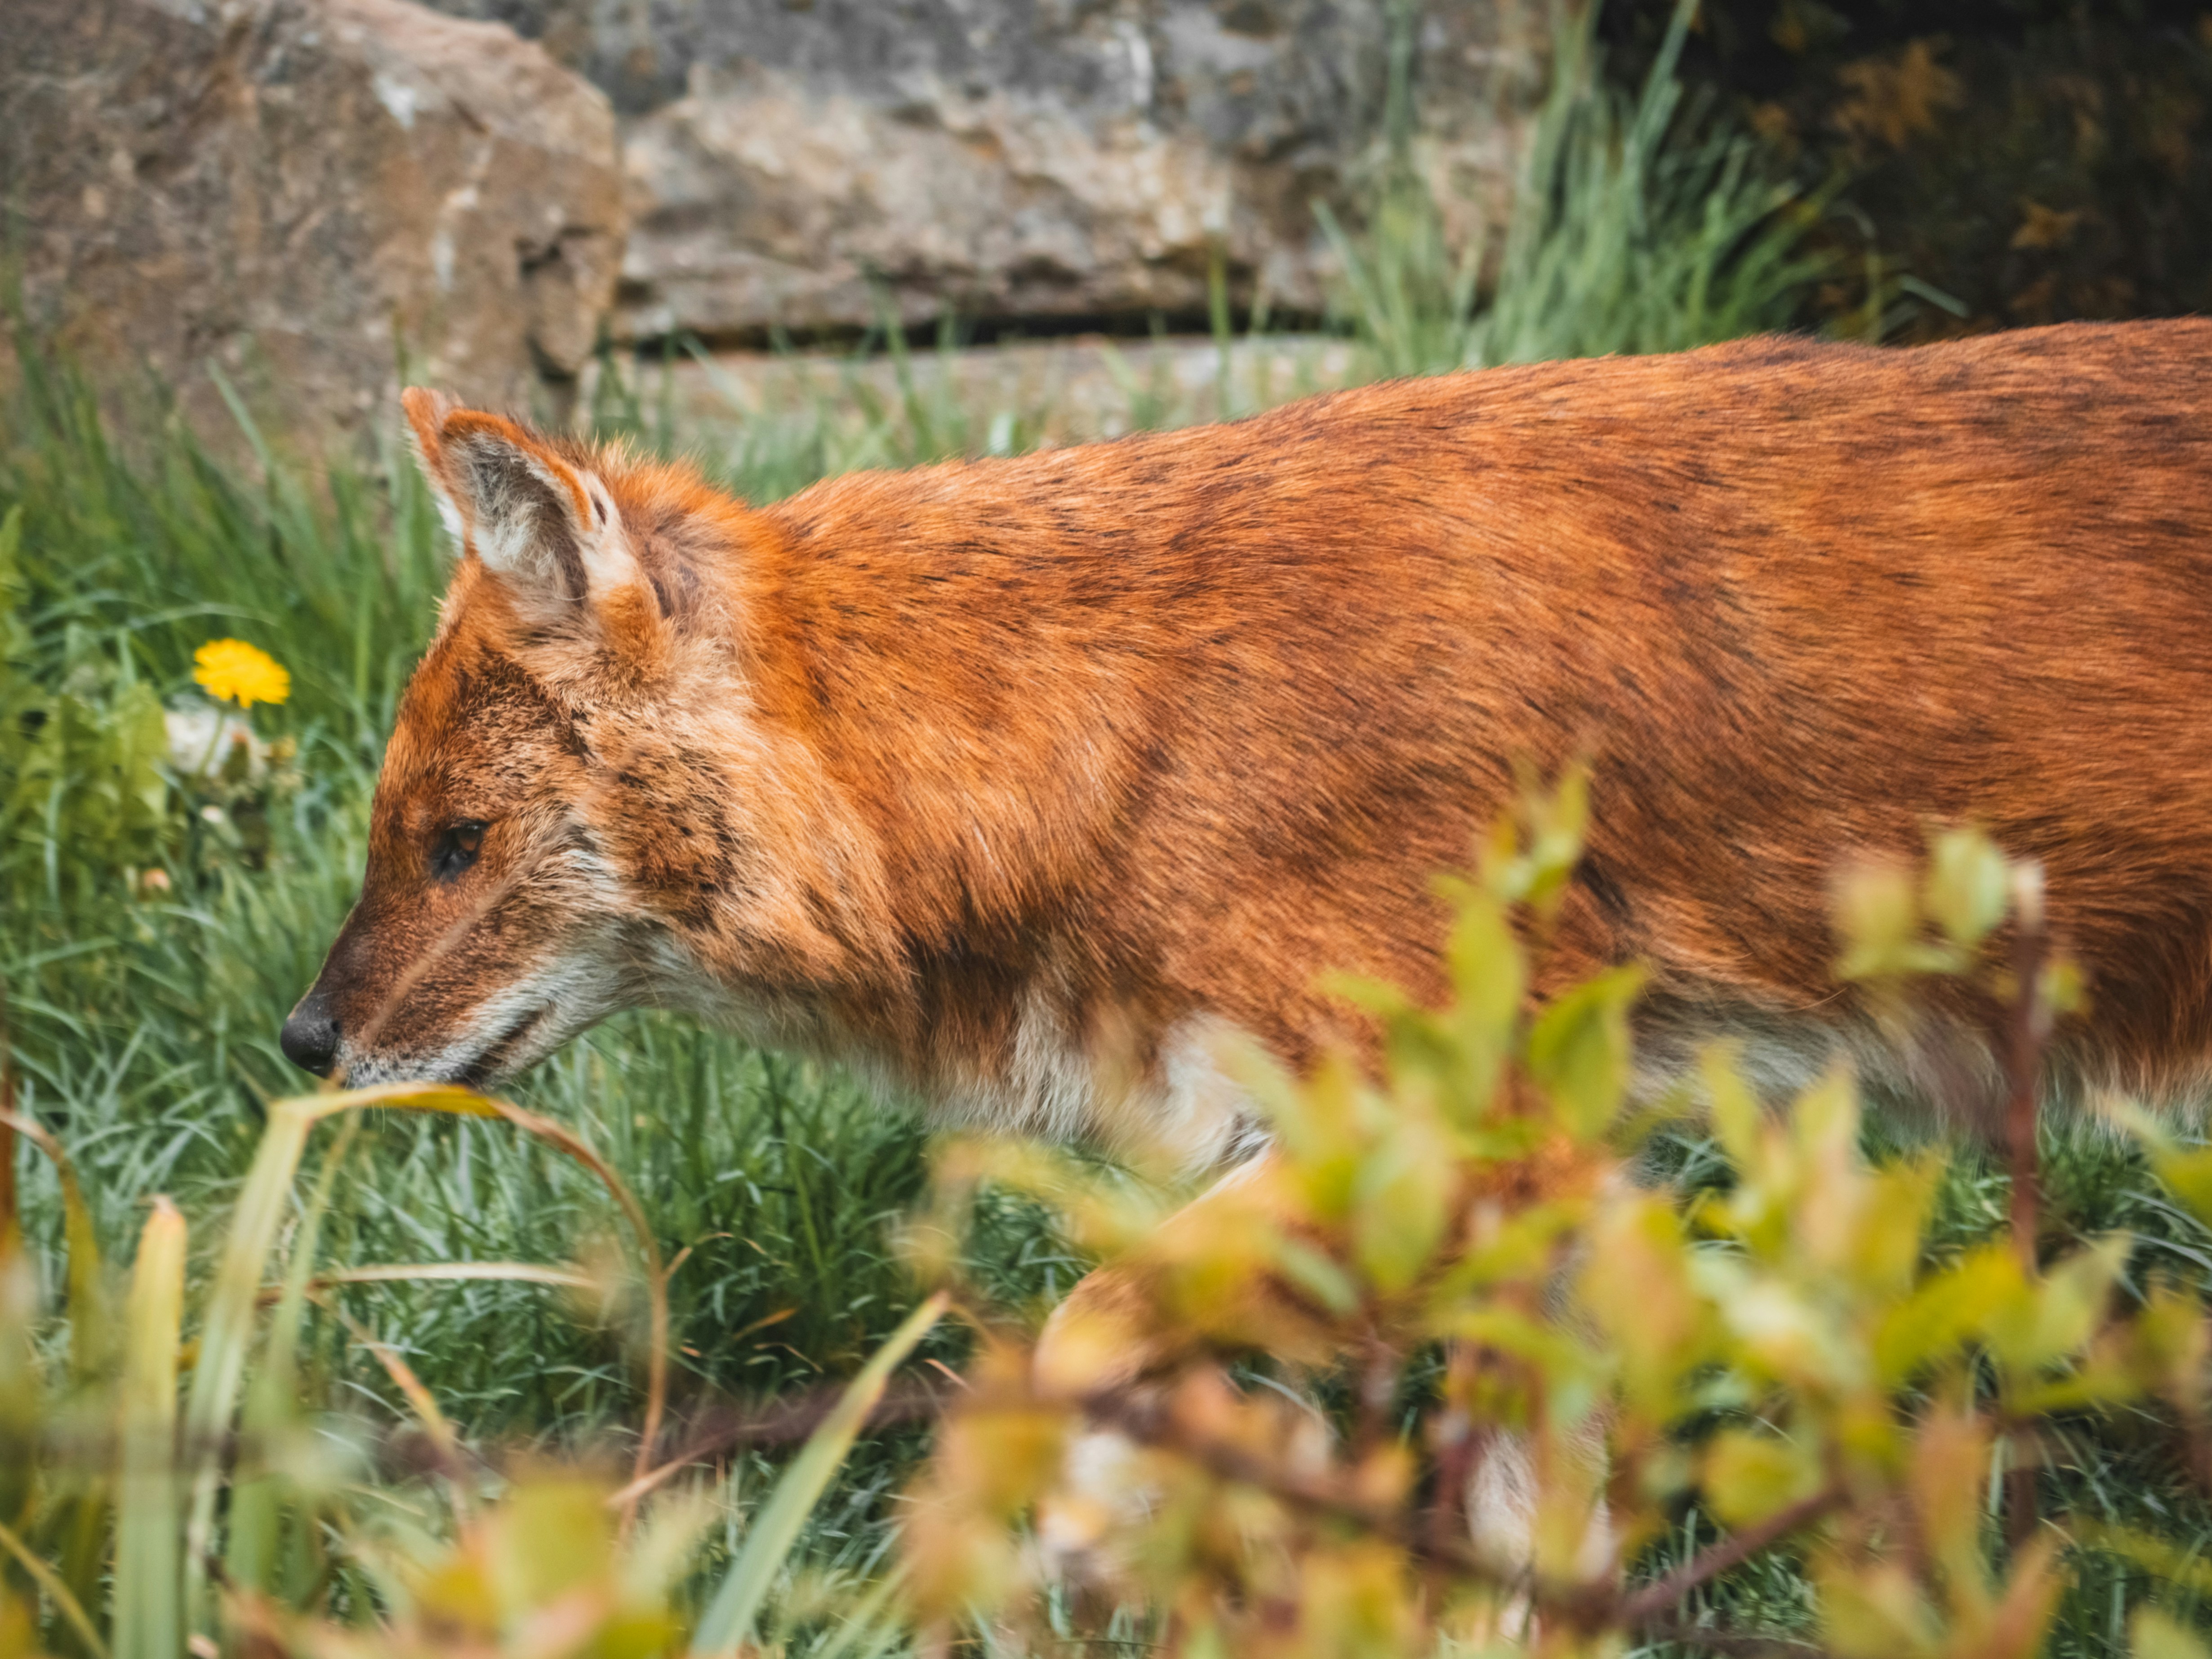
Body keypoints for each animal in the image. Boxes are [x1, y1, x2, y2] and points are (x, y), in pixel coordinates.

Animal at [284, 321, 2211, 1392]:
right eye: (403, 834)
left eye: (455, 844)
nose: (299, 1046)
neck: (1130, 730)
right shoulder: (1537, 1183)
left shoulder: (1462, 1128)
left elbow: (1080, 1344)